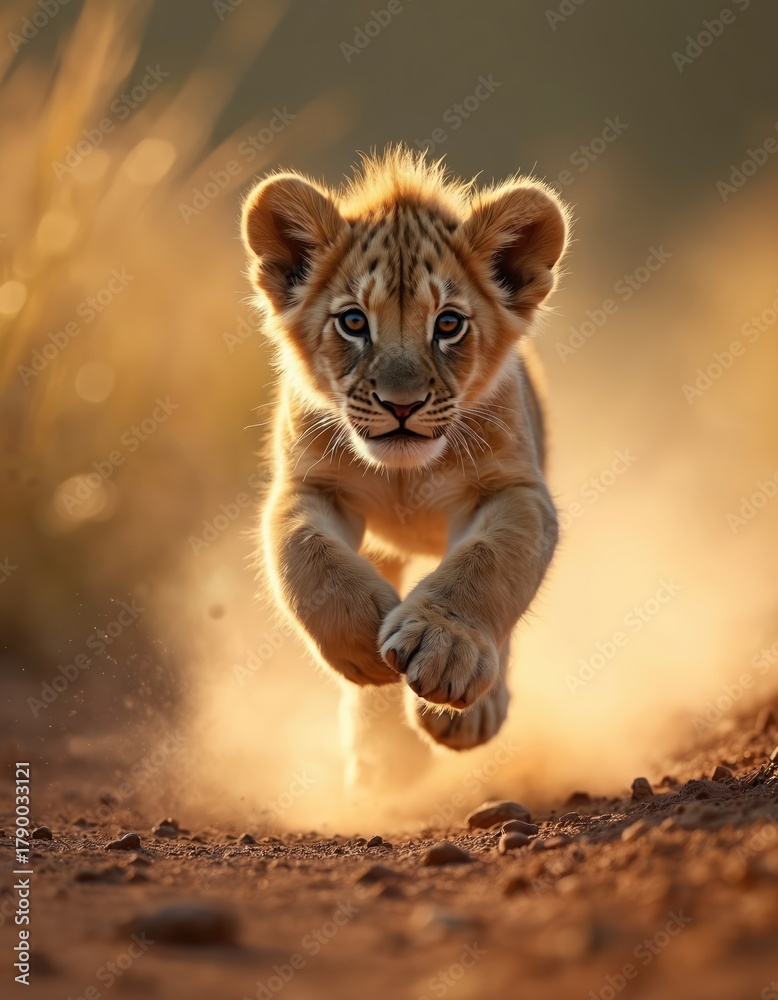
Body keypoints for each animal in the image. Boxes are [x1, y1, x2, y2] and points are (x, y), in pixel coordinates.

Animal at [240, 147, 569, 785]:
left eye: (448, 324)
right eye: (353, 322)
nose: (401, 405)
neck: (405, 478)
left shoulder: (516, 489)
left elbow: (490, 562)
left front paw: (445, 651)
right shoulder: (308, 486)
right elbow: (304, 551)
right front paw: (359, 638)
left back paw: (467, 713)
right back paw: (382, 753)